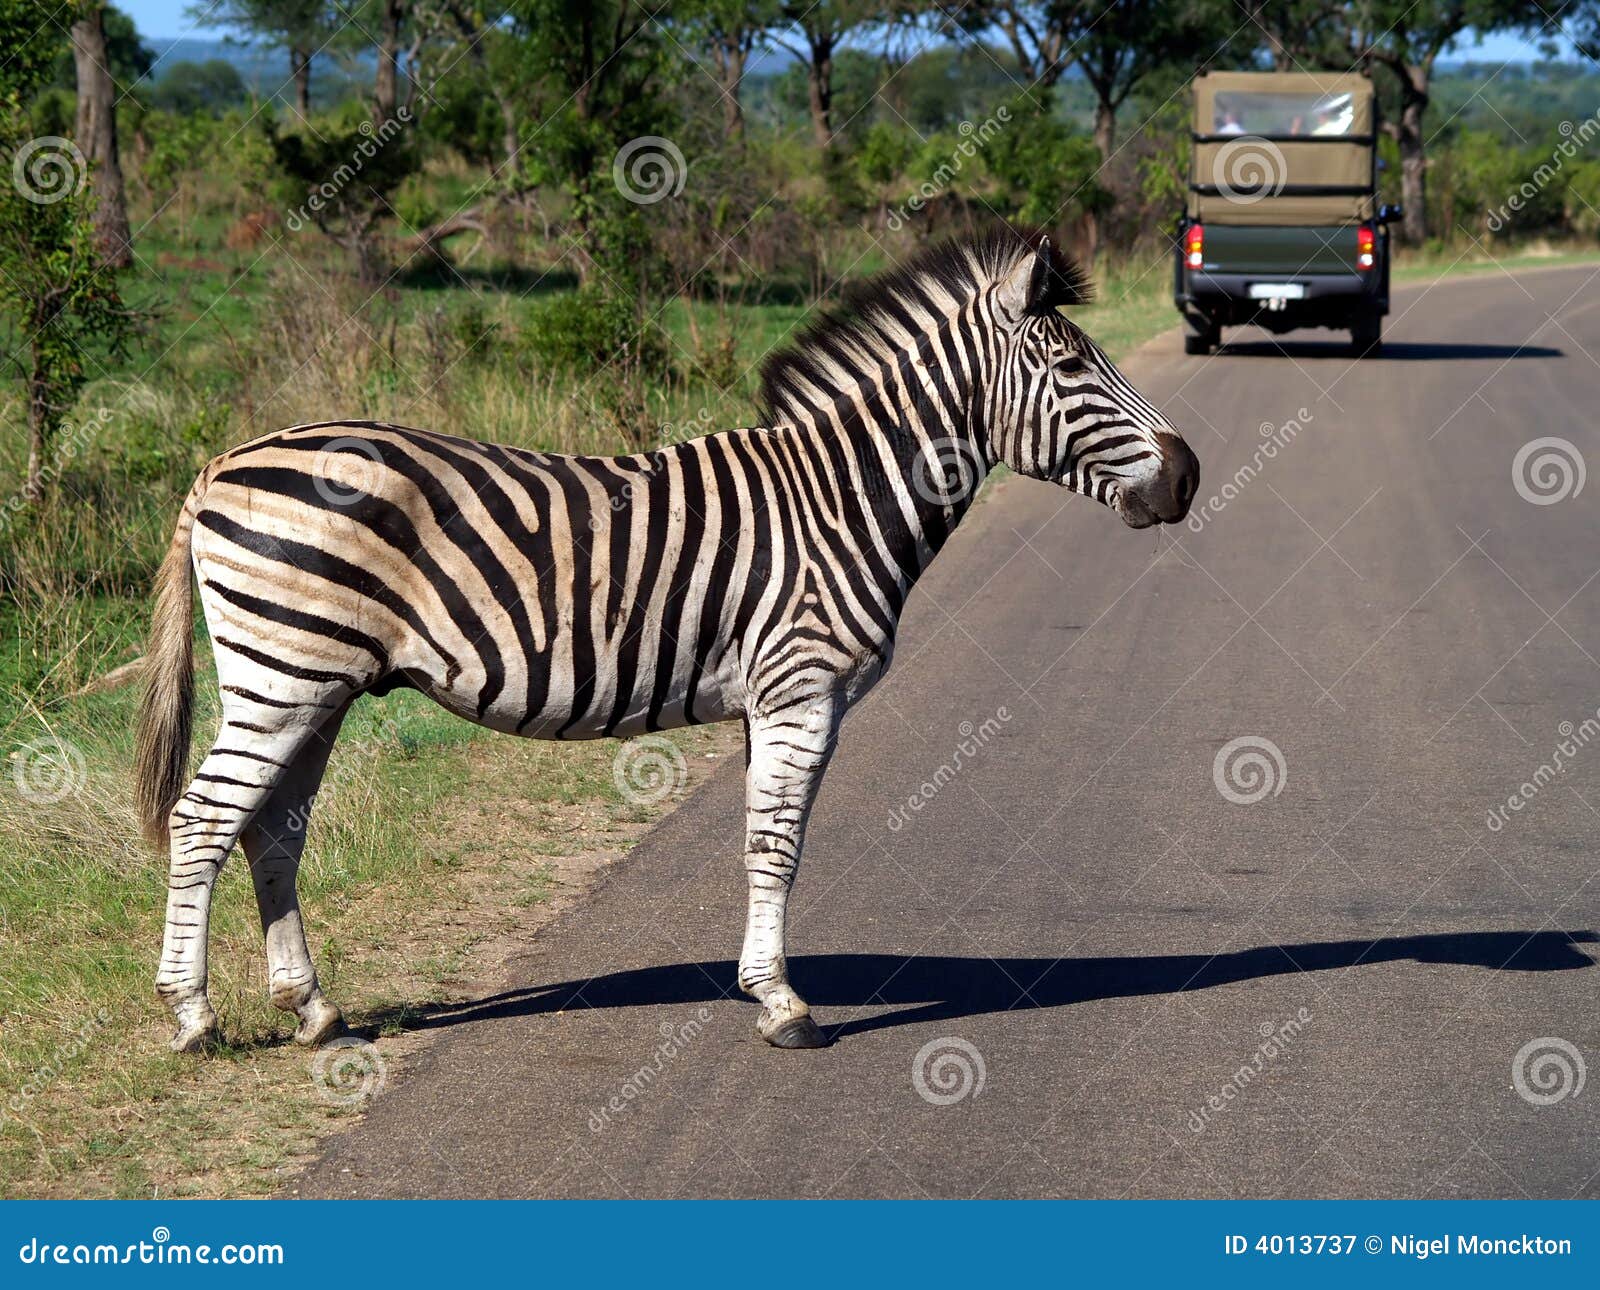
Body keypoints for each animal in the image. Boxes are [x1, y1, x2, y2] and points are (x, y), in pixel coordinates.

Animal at [135, 230, 1198, 1055]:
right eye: (1073, 369)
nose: (1188, 476)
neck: (842, 499)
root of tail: (221, 461)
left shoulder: (768, 698)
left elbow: (763, 840)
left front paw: (763, 986)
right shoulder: (801, 689)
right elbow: (779, 844)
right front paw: (785, 1007)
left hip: (319, 683)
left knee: (270, 827)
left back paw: (314, 1013)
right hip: (286, 671)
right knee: (202, 819)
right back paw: (193, 1018)